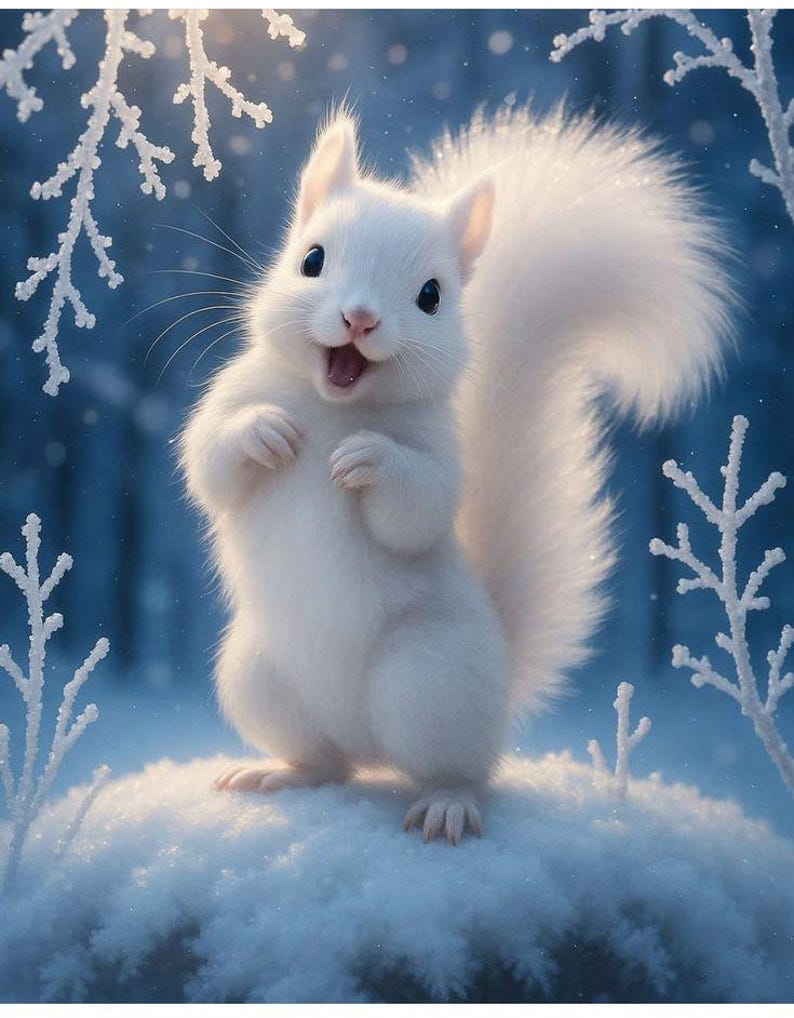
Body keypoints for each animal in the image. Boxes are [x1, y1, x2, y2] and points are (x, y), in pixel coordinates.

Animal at [180, 107, 733, 844]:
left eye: (431, 295)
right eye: (312, 260)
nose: (360, 318)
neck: (337, 407)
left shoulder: (441, 454)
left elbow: (416, 511)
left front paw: (368, 458)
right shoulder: (228, 396)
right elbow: (209, 463)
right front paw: (265, 432)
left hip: (427, 681)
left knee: (459, 768)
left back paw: (447, 803)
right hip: (258, 680)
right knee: (330, 762)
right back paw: (282, 774)